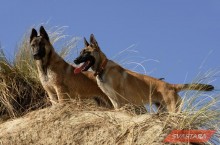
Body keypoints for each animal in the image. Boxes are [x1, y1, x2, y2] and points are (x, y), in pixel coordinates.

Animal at [73, 33, 214, 112]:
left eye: (86, 52)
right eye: (80, 53)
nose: (74, 60)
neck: (103, 68)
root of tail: (171, 86)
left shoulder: (120, 99)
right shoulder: (114, 101)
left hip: (172, 110)